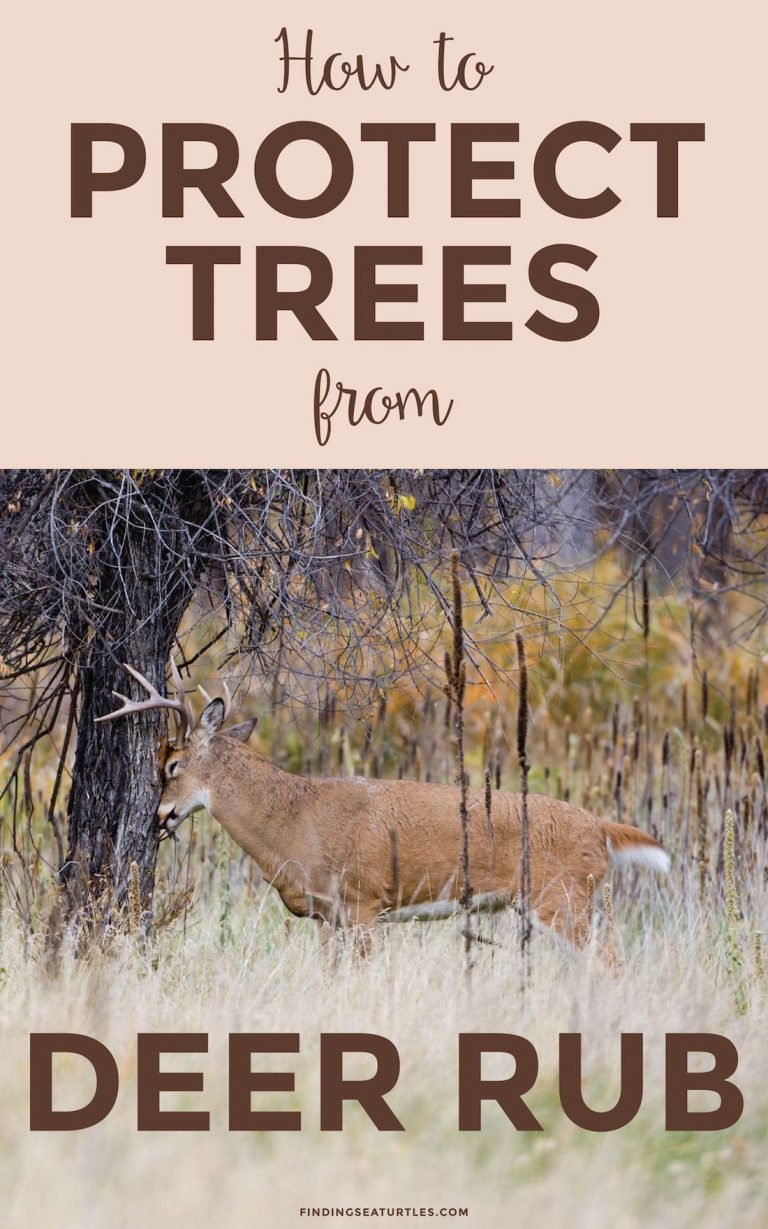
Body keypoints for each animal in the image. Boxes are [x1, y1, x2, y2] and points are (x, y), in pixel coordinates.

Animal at [97, 661, 670, 951]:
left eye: (172, 766)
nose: (158, 815)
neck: (293, 821)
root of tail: (600, 829)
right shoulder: (328, 917)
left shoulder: (363, 902)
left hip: (564, 899)